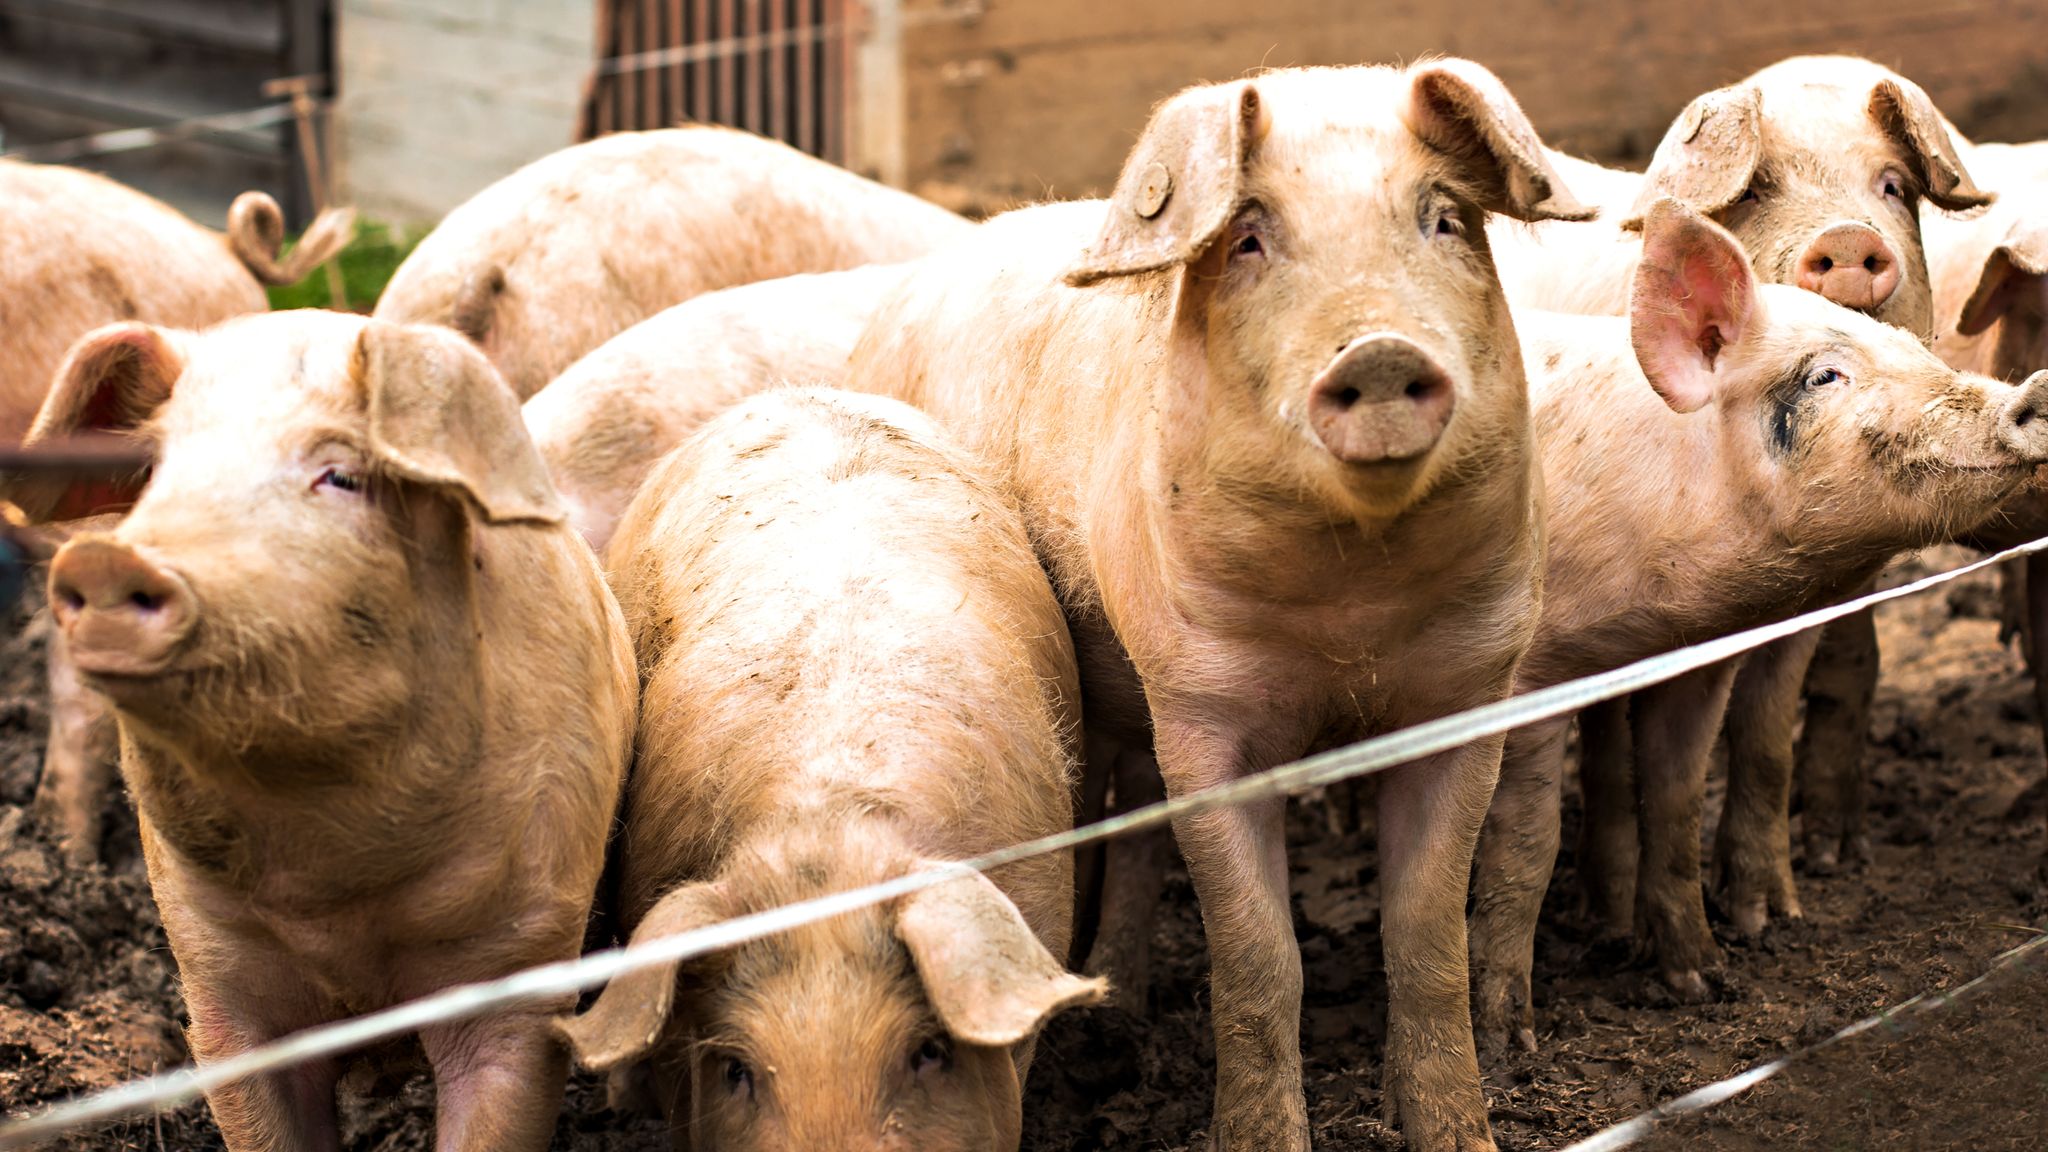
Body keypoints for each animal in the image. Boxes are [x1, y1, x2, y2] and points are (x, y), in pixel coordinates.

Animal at [5, 312, 635, 1150]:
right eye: (153, 469)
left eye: (341, 475)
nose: (107, 558)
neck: (334, 900)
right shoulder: (213, 971)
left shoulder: (523, 966)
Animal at [845, 60, 1593, 1151]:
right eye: (1248, 239)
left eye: (1444, 220)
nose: (1376, 350)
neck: (1349, 622)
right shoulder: (1201, 710)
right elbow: (1257, 957)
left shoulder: (1465, 692)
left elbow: (1422, 936)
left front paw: (1459, 1135)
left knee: (1134, 825)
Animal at [1467, 199, 2048, 1053]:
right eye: (1825, 375)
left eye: (1918, 349)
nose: (2028, 394)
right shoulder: (1537, 673)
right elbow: (1525, 840)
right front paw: (1511, 1046)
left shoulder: (1696, 660)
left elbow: (1676, 805)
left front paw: (1708, 980)